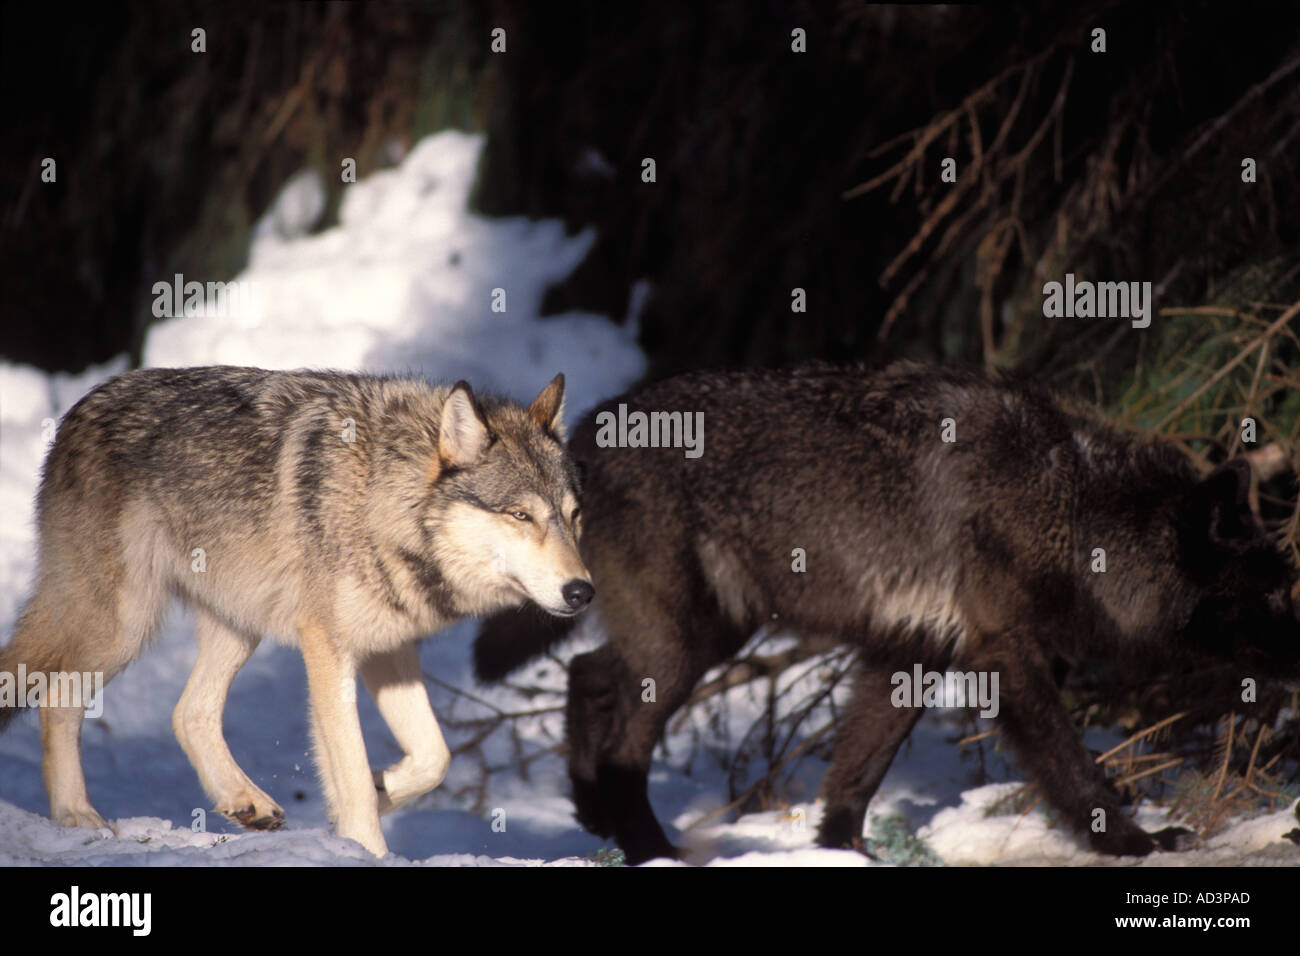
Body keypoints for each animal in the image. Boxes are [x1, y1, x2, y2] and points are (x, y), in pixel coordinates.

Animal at [0, 366, 593, 857]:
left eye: (573, 516)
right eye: (521, 515)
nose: (582, 592)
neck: (382, 497)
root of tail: (80, 408)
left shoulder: (391, 648)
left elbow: (433, 756)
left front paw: (382, 787)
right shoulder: (328, 649)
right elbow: (352, 771)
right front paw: (367, 846)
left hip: (237, 627)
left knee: (188, 713)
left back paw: (244, 801)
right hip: (122, 628)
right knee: (58, 698)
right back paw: (77, 815)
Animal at [474, 361, 1300, 864]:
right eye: (1264, 594)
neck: (1073, 507)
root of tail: (579, 437)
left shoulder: (912, 651)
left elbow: (857, 772)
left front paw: (841, 852)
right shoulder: (1007, 654)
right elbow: (1075, 770)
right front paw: (1136, 844)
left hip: (706, 637)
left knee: (586, 675)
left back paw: (593, 816)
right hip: (684, 650)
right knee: (616, 726)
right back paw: (651, 850)